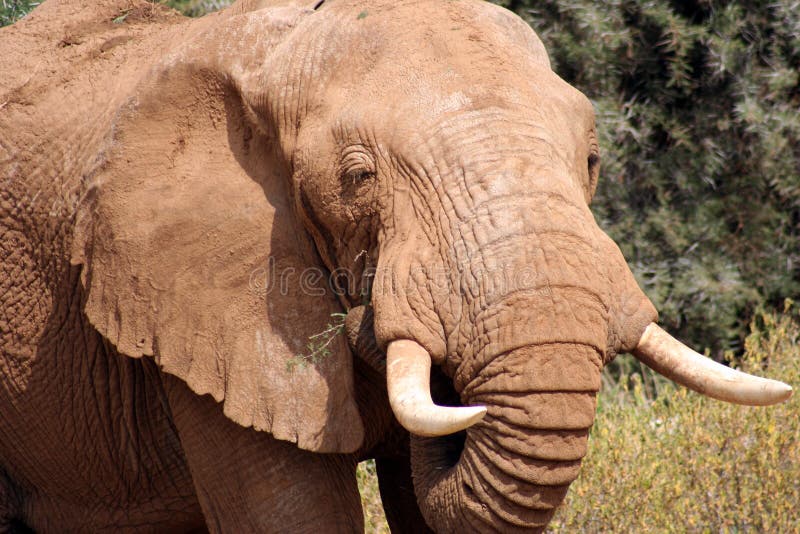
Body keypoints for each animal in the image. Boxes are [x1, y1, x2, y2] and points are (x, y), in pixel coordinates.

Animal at [0, 0, 792, 531]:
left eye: (593, 160)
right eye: (358, 179)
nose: (368, 320)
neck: (284, 44)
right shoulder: (195, 299)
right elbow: (293, 516)